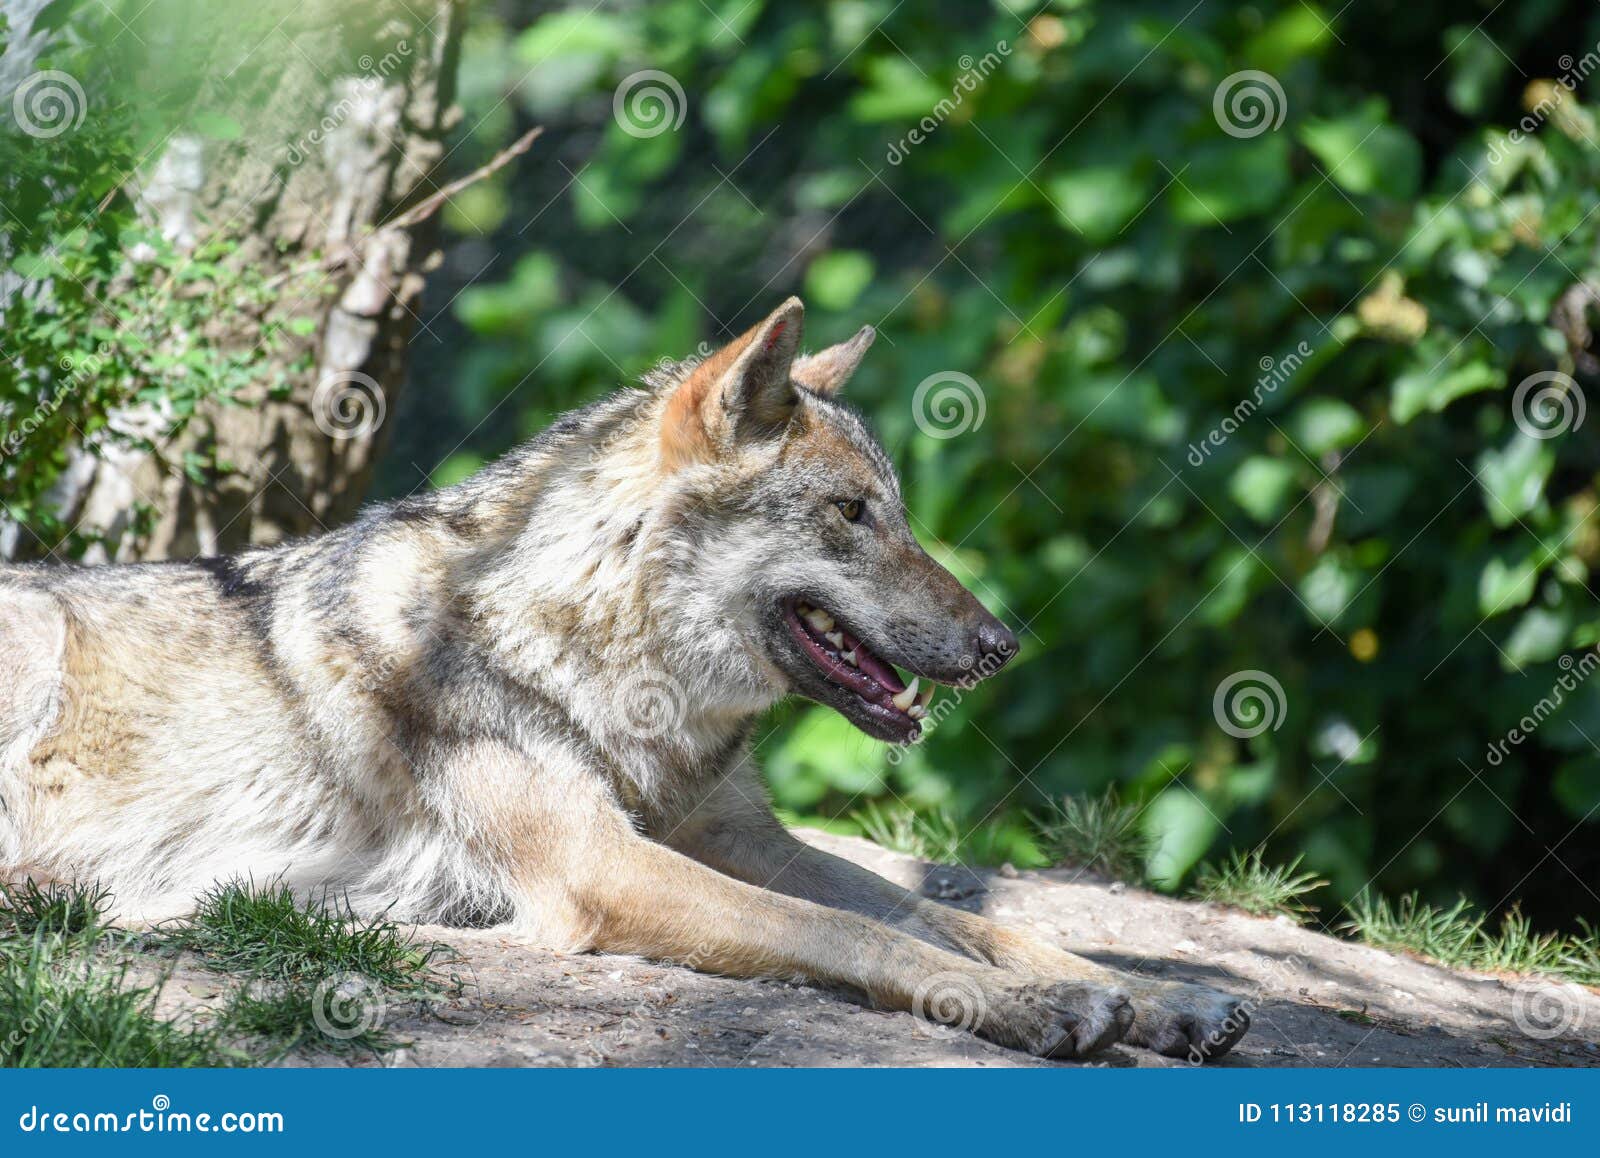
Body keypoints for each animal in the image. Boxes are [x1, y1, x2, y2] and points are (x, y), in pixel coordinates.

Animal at [0, 298, 1247, 1061]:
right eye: (854, 515)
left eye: (894, 513)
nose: (1001, 644)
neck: (609, 670)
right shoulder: (604, 864)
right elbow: (864, 937)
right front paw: (1039, 1011)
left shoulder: (735, 837)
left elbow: (948, 917)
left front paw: (1150, 995)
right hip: (37, 647)